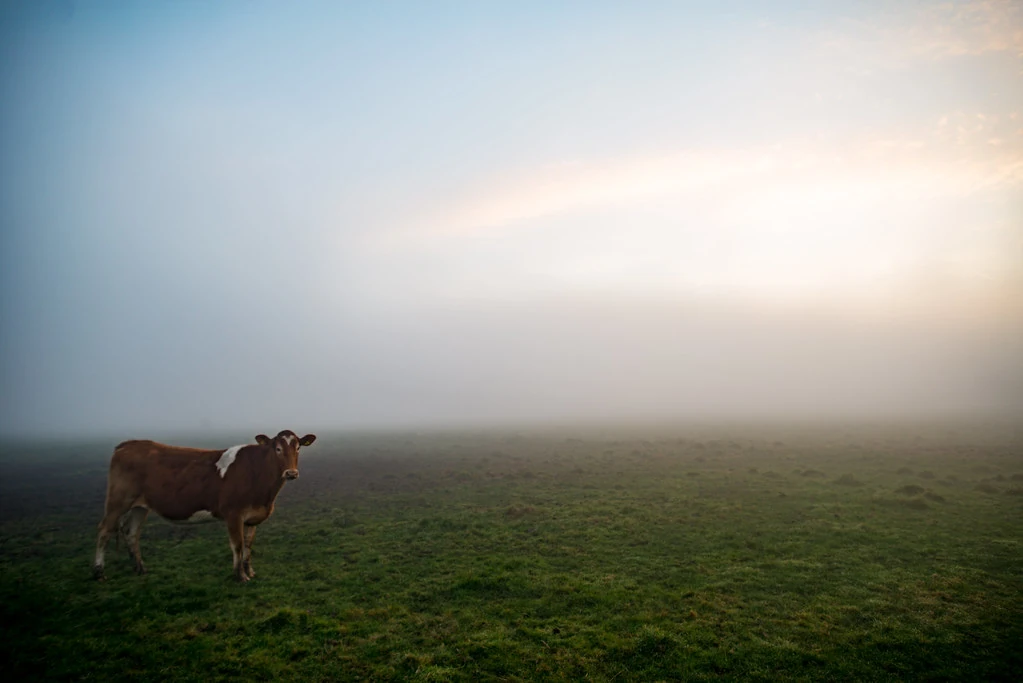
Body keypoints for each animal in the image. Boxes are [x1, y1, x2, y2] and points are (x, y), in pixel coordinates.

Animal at [93, 430, 316, 582]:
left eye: (298, 448)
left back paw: (140, 568)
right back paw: (99, 572)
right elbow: (237, 545)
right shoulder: (233, 514)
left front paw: (249, 571)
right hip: (117, 501)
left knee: (131, 532)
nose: (291, 473)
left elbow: (248, 545)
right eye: (277, 448)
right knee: (104, 530)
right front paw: (240, 576)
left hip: (139, 506)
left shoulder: (252, 518)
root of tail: (127, 444)